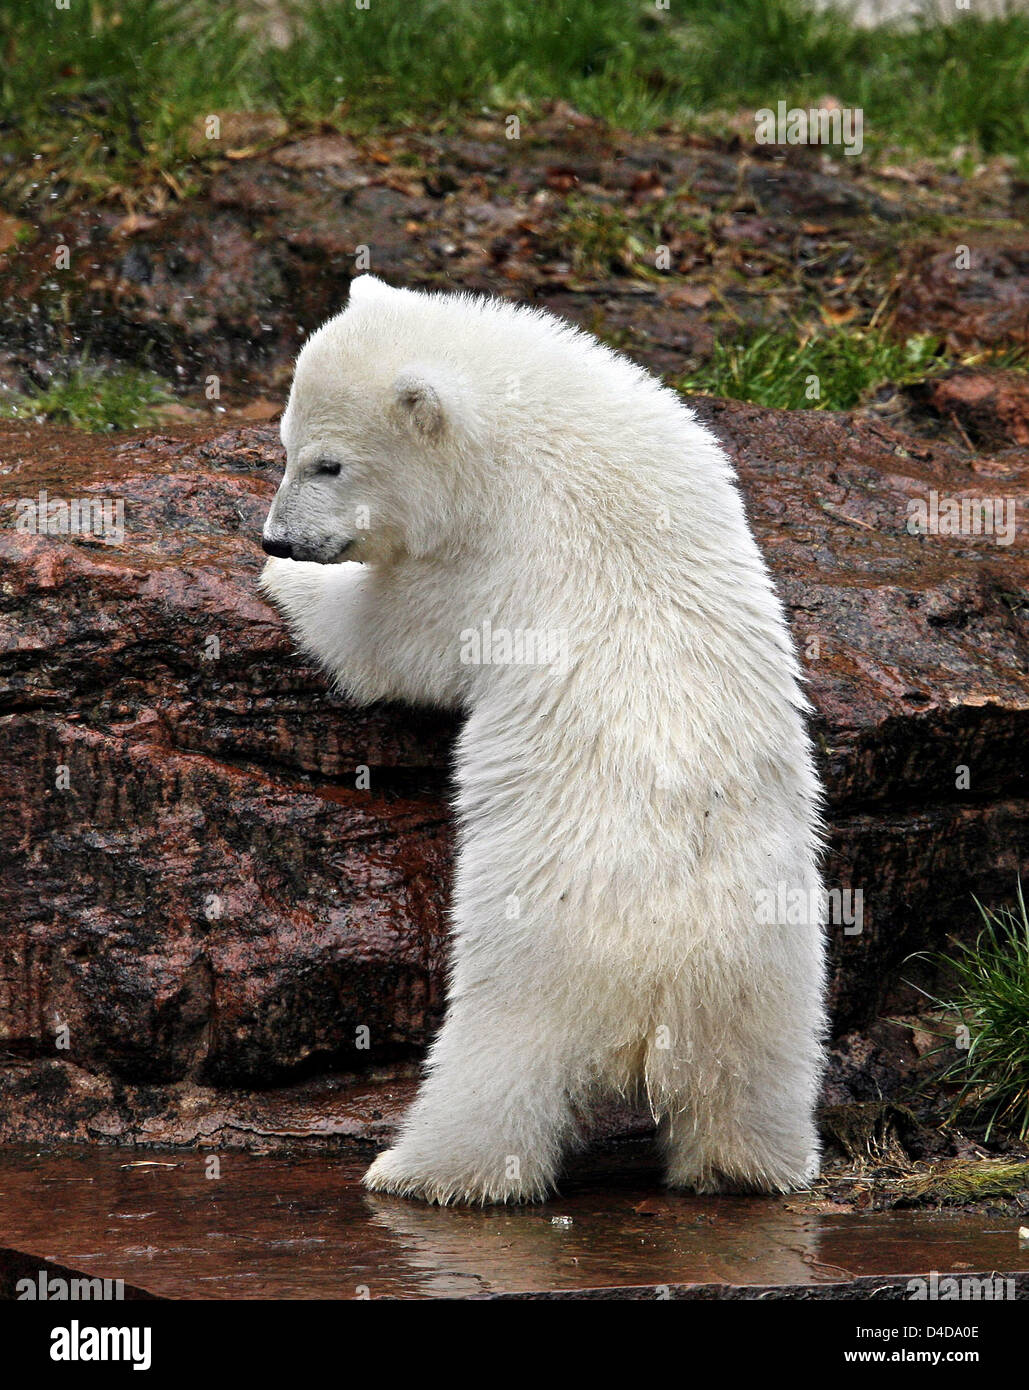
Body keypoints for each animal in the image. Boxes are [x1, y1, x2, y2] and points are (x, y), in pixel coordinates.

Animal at [260, 274, 827, 1204]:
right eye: (285, 445)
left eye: (327, 462)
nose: (276, 535)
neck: (532, 437)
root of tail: (662, 988)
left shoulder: (482, 568)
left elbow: (389, 645)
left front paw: (289, 581)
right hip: (769, 977)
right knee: (752, 1089)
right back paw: (752, 1167)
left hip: (541, 958)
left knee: (493, 1077)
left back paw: (412, 1170)